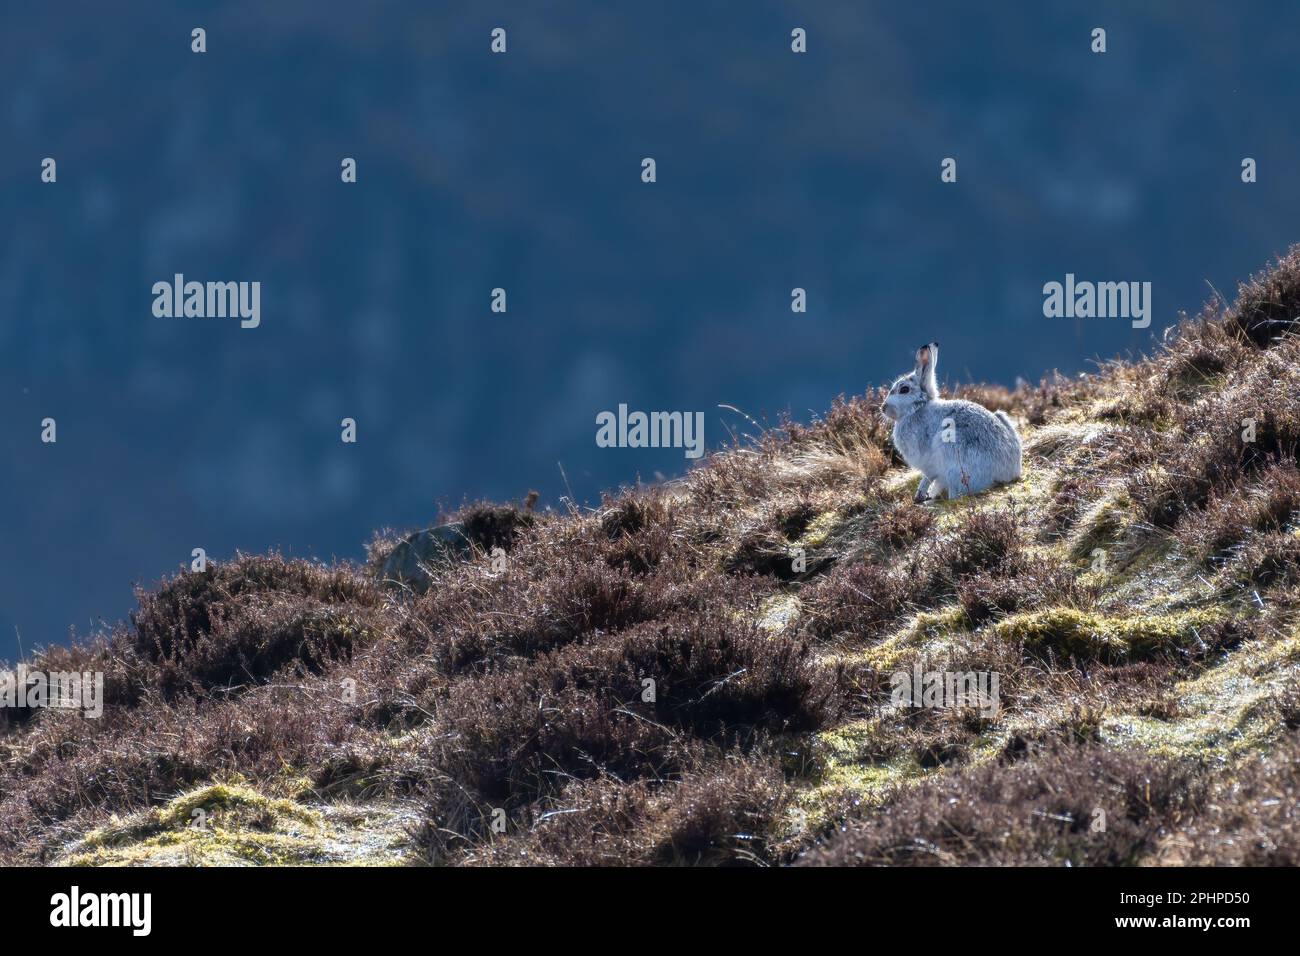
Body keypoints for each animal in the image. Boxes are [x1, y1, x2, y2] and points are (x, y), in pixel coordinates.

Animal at [881, 342, 1022, 502]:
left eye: (904, 390)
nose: (883, 408)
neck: (917, 409)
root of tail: (1009, 471)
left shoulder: (927, 462)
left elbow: (927, 477)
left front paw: (920, 495)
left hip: (953, 457)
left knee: (957, 494)